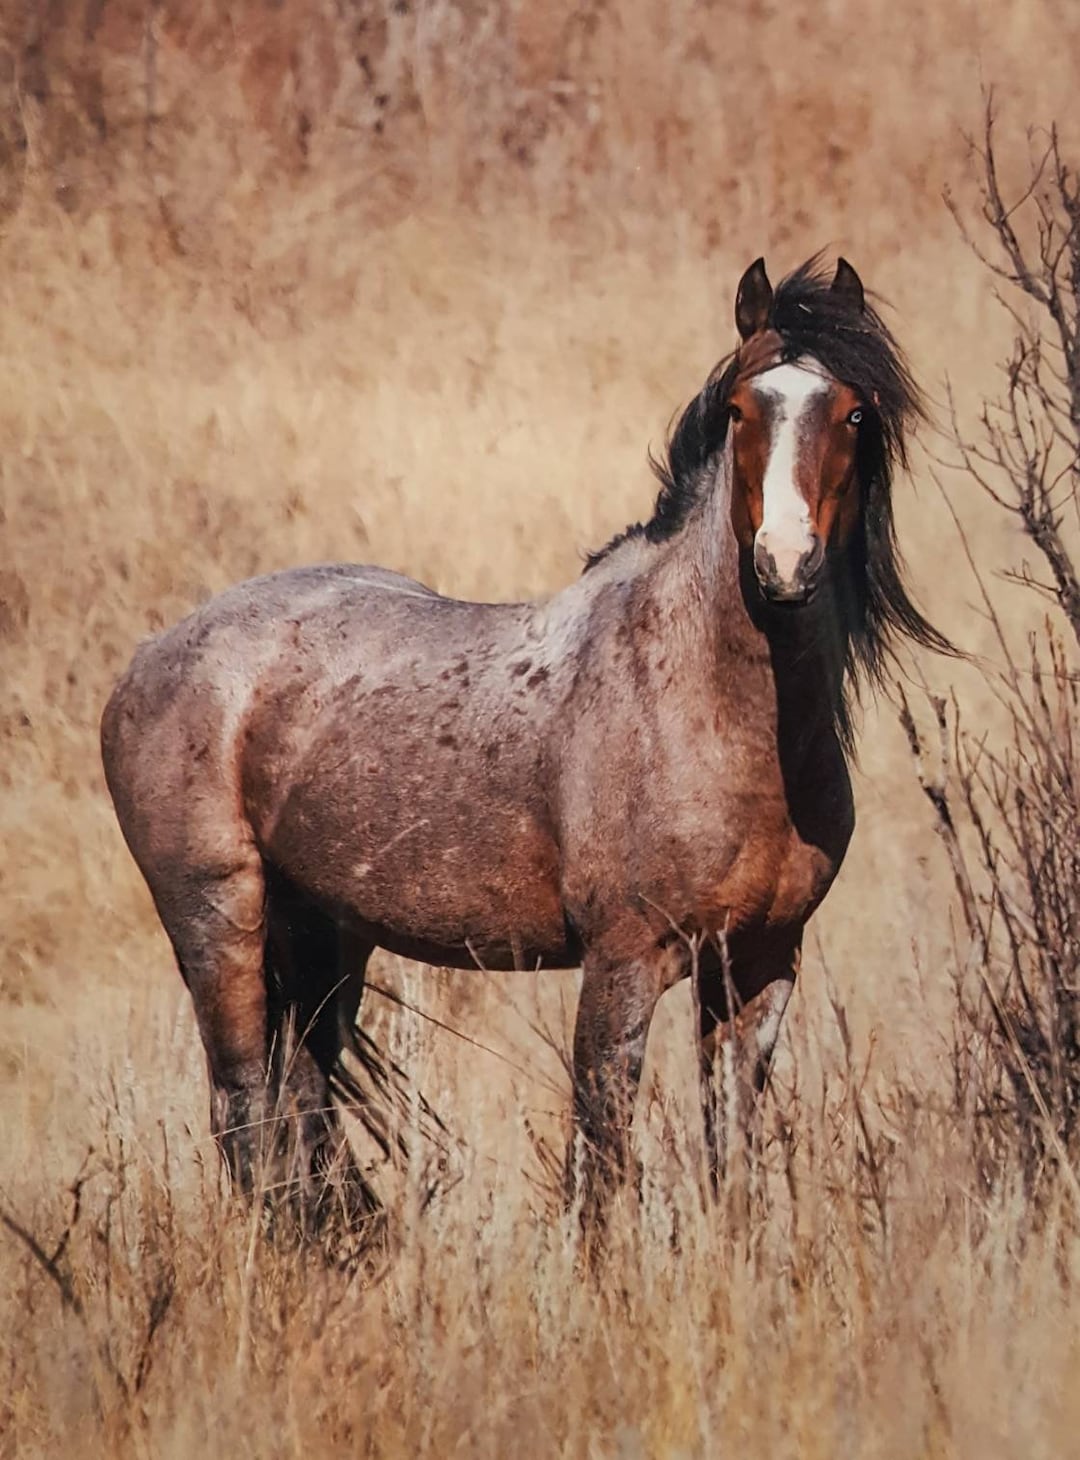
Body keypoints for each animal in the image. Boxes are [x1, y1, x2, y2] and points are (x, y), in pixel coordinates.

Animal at [101, 254, 948, 1234]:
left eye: (853, 413)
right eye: (741, 410)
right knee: (242, 1109)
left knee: (302, 1107)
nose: (784, 565)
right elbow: (604, 1164)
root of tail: (148, 657)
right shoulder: (623, 963)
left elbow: (728, 1165)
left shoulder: (762, 966)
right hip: (218, 918)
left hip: (322, 938)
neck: (716, 716)